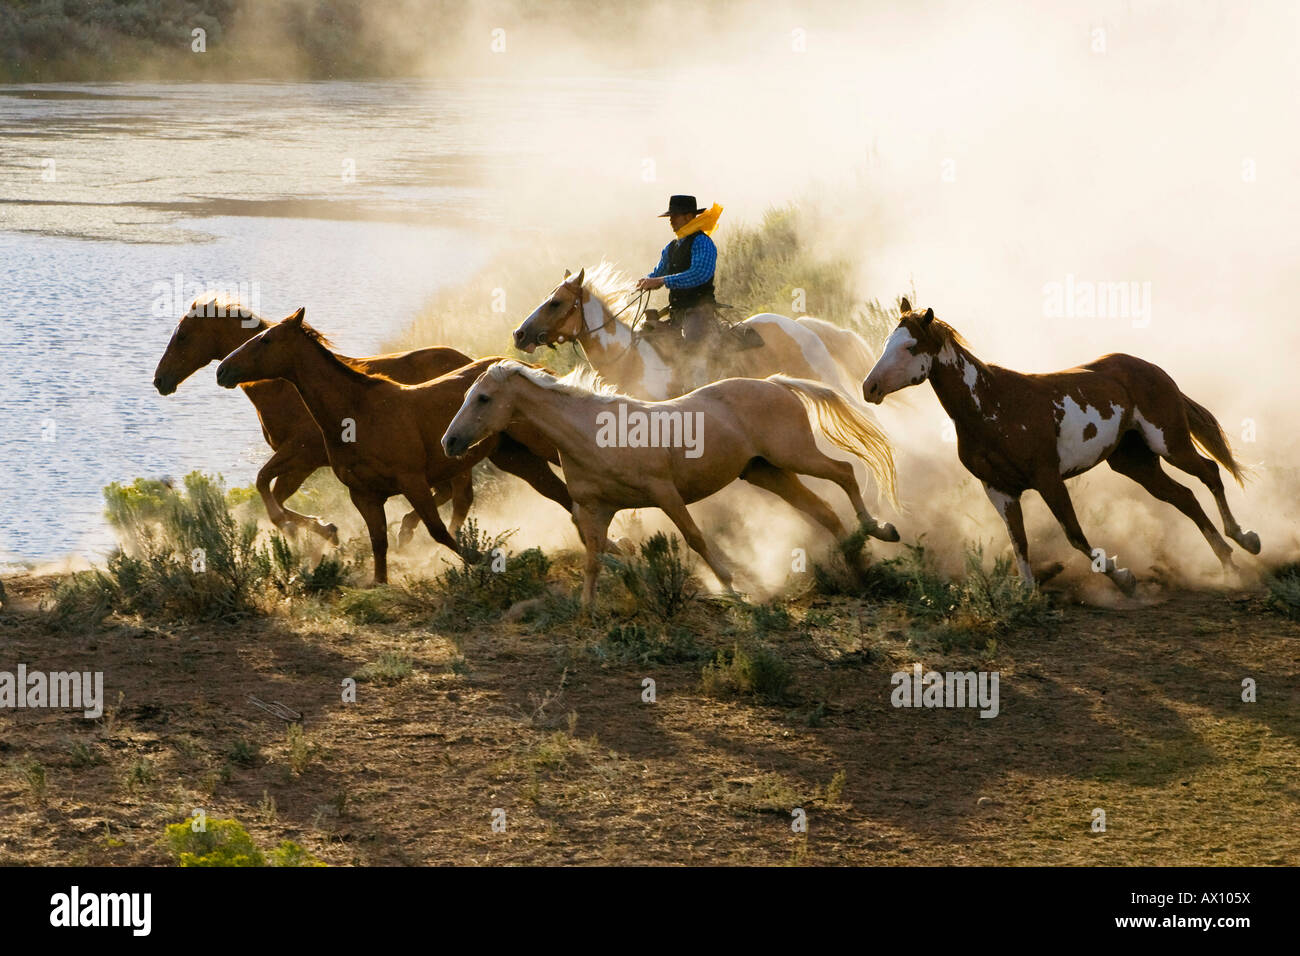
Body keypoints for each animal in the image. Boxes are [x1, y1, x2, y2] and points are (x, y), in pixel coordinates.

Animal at [154, 295, 473, 546]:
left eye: (182, 336)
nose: (160, 380)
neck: (283, 386)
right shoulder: (300, 464)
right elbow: (276, 495)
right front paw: (324, 530)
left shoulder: (300, 455)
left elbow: (264, 486)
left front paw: (305, 530)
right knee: (449, 494)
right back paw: (410, 531)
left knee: (461, 498)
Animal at [214, 308, 574, 585]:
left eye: (266, 339)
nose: (222, 370)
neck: (356, 413)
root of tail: (535, 369)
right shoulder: (364, 494)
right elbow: (379, 542)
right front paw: (379, 580)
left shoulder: (412, 481)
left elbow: (439, 531)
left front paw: (482, 559)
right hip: (517, 458)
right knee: (560, 495)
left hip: (543, 448)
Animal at [441, 360, 901, 607]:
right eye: (464, 396)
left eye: (483, 398)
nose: (450, 442)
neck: (592, 434)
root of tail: (774, 383)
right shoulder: (597, 508)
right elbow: (592, 557)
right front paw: (586, 609)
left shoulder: (665, 494)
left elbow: (695, 538)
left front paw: (733, 590)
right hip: (766, 471)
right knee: (822, 510)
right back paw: (856, 562)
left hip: (793, 455)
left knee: (844, 473)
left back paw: (880, 529)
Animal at [861, 299, 1260, 594]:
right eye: (887, 344)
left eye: (909, 346)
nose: (869, 387)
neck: (992, 405)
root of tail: (1153, 370)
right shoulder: (999, 489)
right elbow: (1019, 542)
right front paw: (1027, 592)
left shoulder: (1048, 479)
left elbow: (1075, 535)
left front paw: (1124, 579)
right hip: (1134, 462)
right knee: (1185, 497)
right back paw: (1227, 561)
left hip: (1168, 442)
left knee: (1210, 473)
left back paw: (1245, 540)